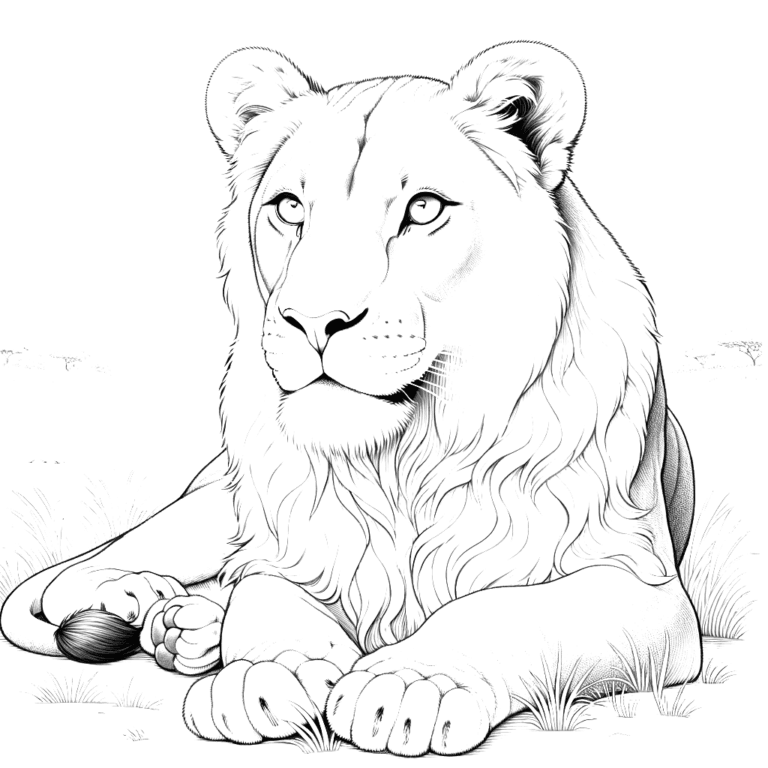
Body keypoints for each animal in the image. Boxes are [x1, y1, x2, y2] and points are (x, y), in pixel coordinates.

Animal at [1, 41, 701, 755]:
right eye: (288, 209)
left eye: (423, 209)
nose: (312, 321)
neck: (403, 459)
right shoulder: (289, 551)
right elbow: (270, 605)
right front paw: (265, 679)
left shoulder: (646, 588)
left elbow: (504, 610)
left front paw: (411, 687)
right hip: (216, 507)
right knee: (83, 572)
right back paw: (141, 601)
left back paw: (185, 628)